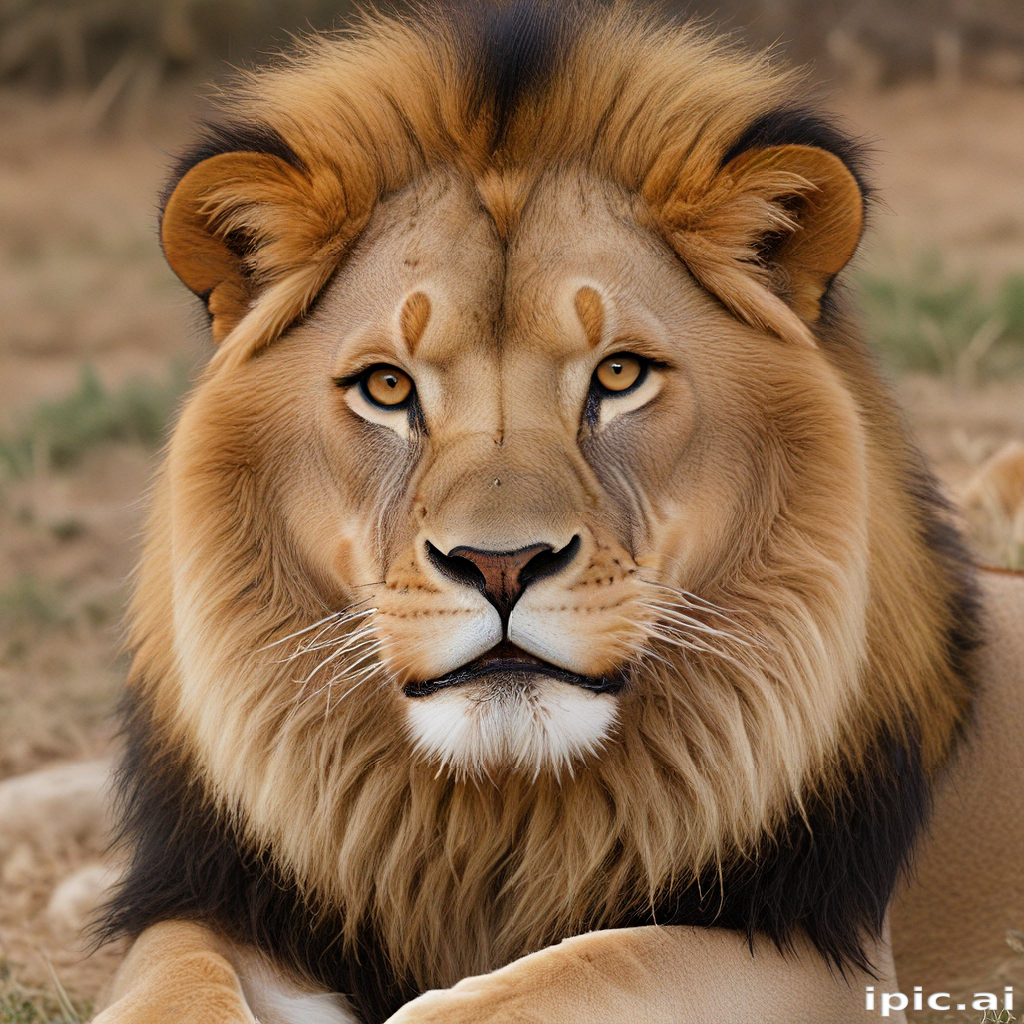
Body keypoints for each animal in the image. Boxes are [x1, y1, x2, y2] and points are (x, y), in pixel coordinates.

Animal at [87, 3, 1021, 1022]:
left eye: (619, 374)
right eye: (386, 387)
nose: (501, 566)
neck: (500, 803)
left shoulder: (827, 950)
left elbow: (571, 973)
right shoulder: (216, 901)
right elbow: (173, 985)